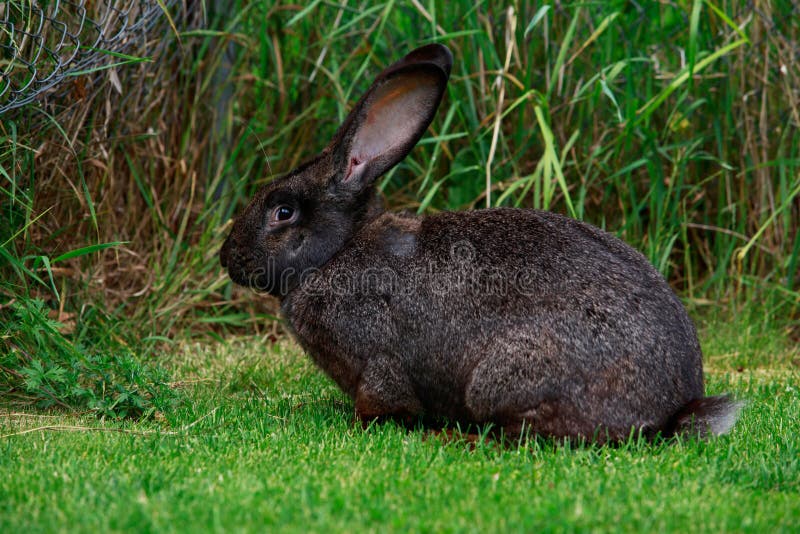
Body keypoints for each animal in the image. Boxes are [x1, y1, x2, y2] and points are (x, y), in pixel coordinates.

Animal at [220, 43, 741, 442]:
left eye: (283, 212)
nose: (228, 259)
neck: (337, 251)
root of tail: (672, 411)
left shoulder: (377, 363)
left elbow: (383, 401)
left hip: (502, 377)